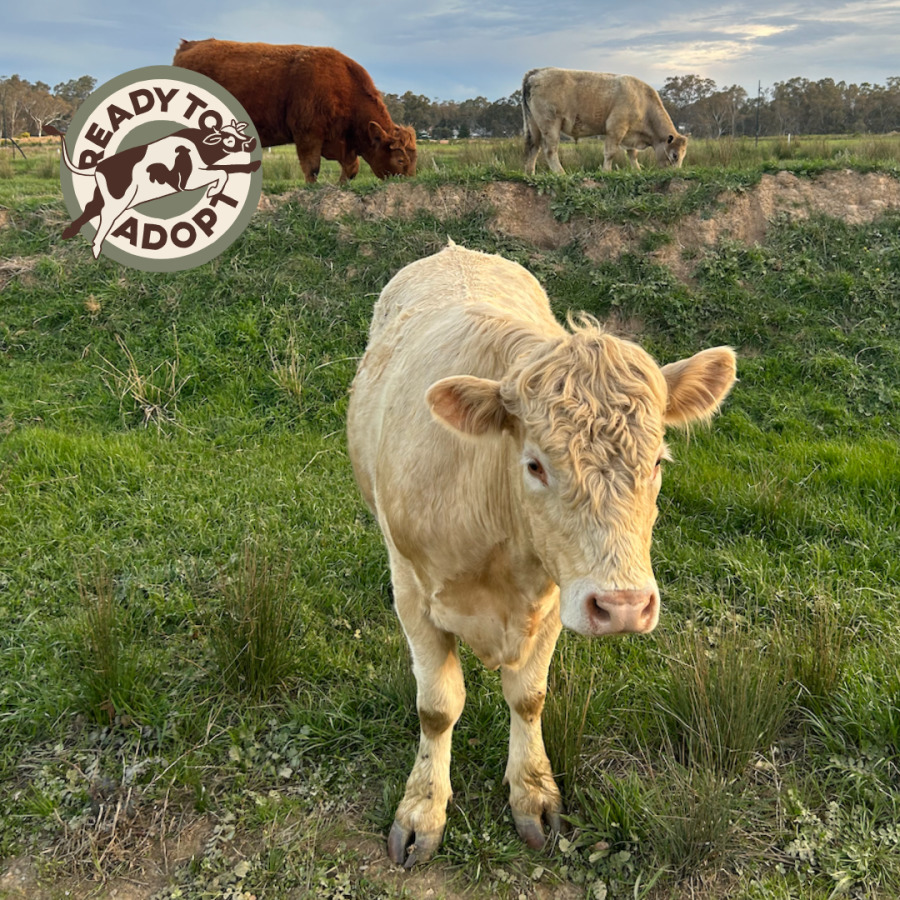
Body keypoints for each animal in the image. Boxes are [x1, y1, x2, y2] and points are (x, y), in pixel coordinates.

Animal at [48, 121, 259, 258]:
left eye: (239, 133)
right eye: (228, 138)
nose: (251, 141)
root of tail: (99, 166)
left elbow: (229, 168)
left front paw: (252, 166)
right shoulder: (187, 182)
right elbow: (223, 172)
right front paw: (213, 191)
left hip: (105, 197)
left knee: (91, 208)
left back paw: (69, 233)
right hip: (117, 202)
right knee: (104, 218)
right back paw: (96, 248)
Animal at [173, 39, 417, 185]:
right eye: (400, 160)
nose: (411, 183)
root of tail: (189, 45)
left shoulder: (341, 144)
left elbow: (351, 168)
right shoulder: (308, 136)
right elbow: (312, 169)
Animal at [347, 241, 736, 867]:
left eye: (658, 461)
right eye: (534, 464)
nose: (624, 606)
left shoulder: (556, 595)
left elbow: (529, 697)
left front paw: (532, 792)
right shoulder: (411, 589)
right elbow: (437, 706)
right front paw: (423, 808)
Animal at [522, 68, 688, 174]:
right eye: (675, 155)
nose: (676, 173)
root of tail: (536, 73)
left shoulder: (630, 135)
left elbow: (632, 154)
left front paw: (637, 170)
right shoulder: (616, 128)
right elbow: (610, 153)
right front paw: (606, 171)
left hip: (533, 124)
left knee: (533, 147)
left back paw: (530, 173)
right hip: (550, 123)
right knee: (550, 150)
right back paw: (561, 173)